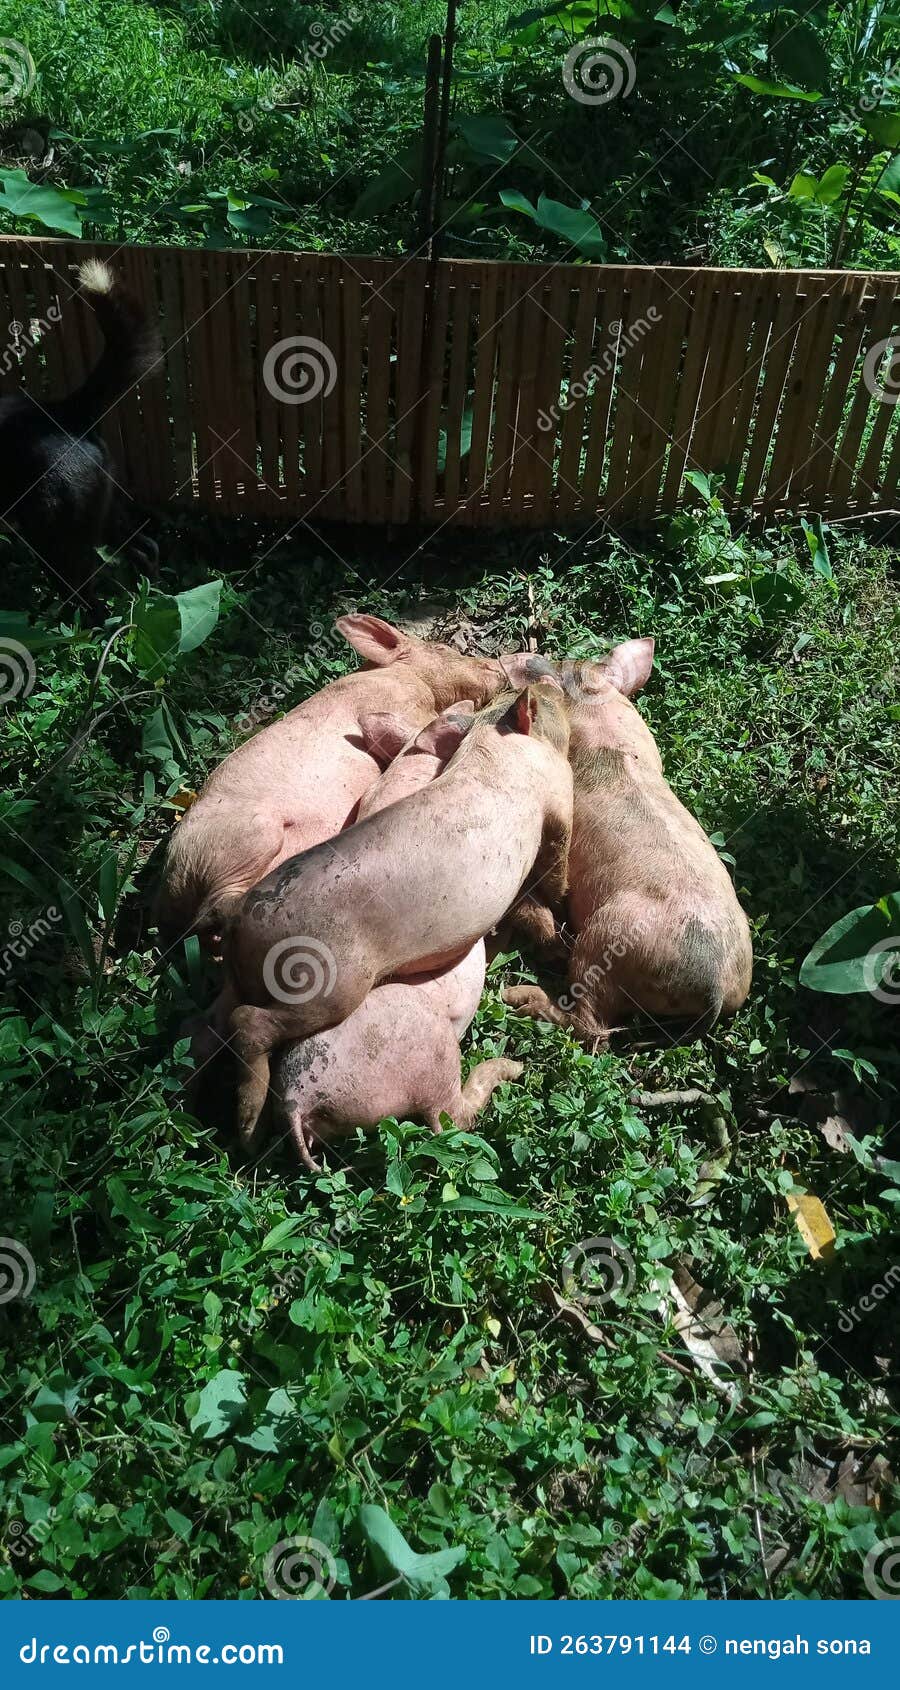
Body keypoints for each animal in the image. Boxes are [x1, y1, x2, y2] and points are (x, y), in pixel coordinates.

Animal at [155, 614, 517, 951]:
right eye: (442, 648)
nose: (498, 667)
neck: (400, 675)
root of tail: (173, 882)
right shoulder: (396, 702)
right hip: (248, 837)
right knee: (216, 907)